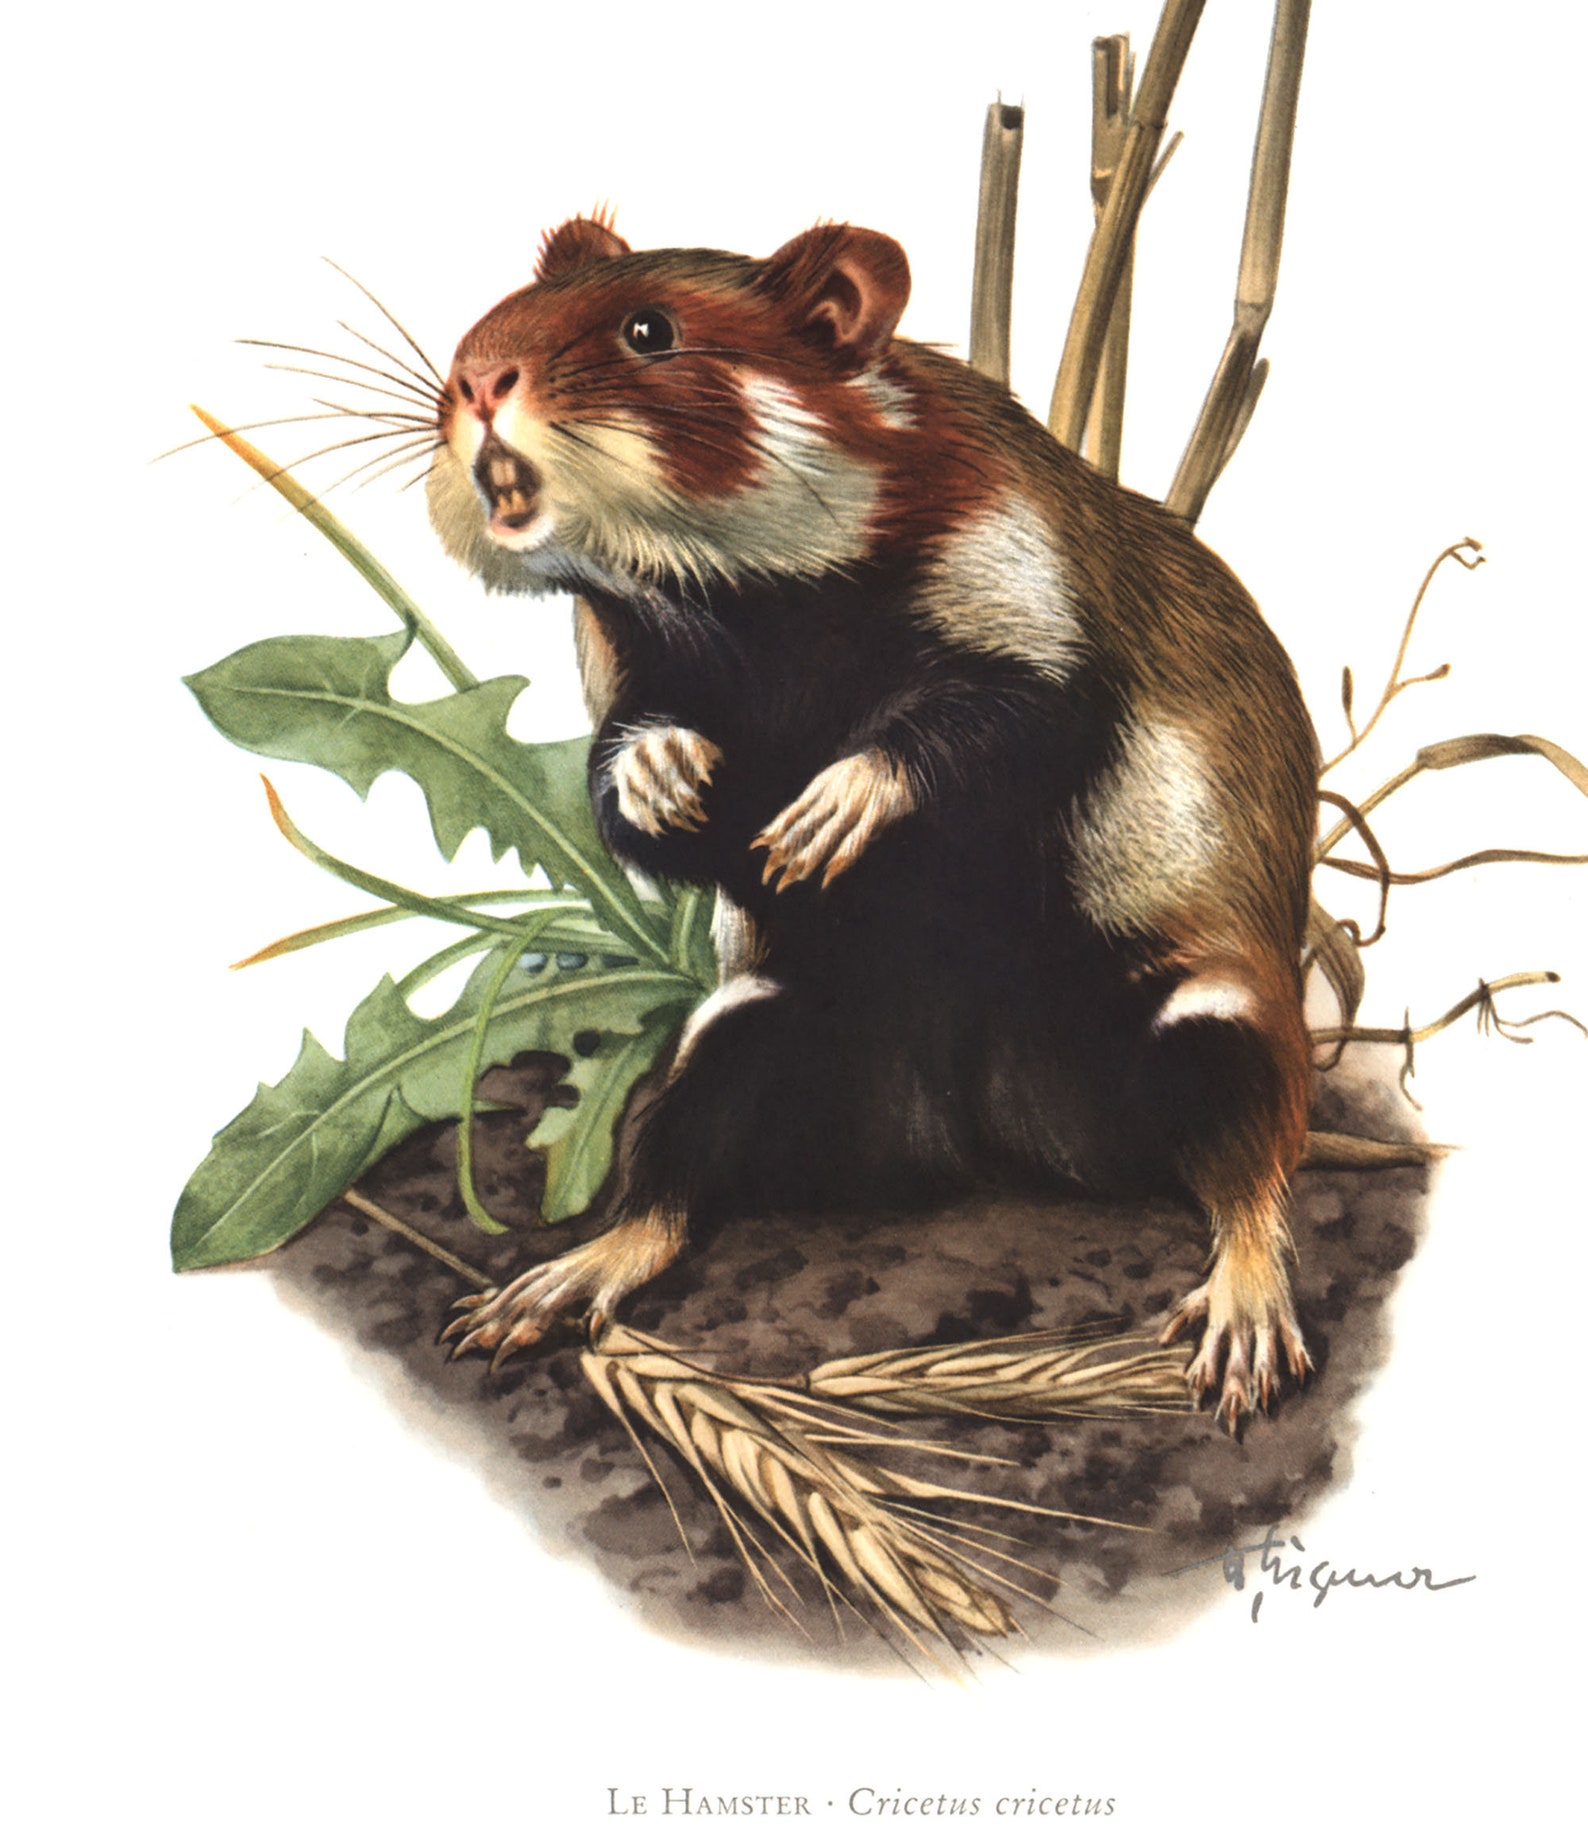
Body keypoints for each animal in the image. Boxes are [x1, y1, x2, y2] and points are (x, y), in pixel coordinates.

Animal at [429, 214, 1320, 1428]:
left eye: (650, 331)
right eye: (511, 309)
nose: (474, 382)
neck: (752, 597)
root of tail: (987, 1142)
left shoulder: (1026, 617)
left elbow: (981, 721)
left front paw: (821, 819)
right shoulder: (628, 661)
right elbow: (630, 774)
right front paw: (668, 774)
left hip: (1214, 1026)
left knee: (1252, 1185)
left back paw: (1241, 1344)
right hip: (742, 1036)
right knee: (664, 1192)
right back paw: (536, 1296)